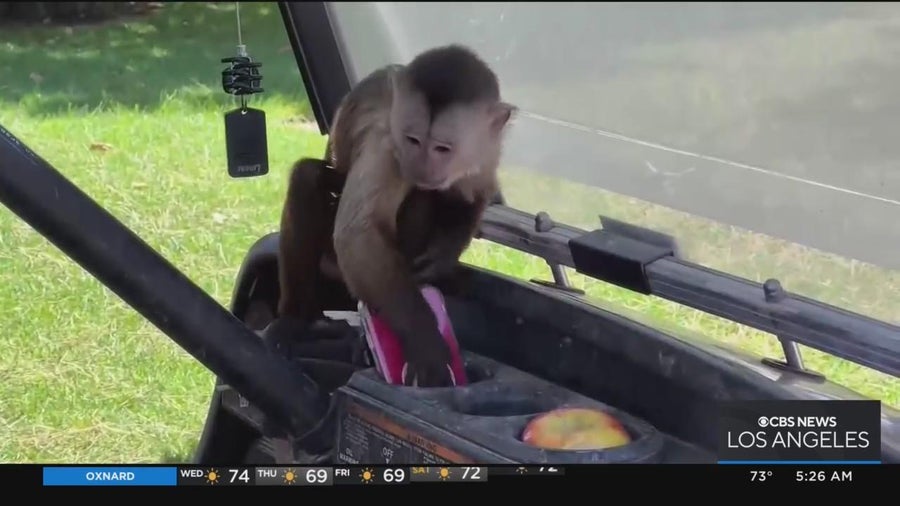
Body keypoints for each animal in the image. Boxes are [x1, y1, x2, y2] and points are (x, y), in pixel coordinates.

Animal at [276, 44, 515, 388]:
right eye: (413, 140)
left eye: (442, 148)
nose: (420, 165)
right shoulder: (388, 146)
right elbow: (359, 234)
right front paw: (426, 342)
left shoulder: (486, 151)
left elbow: (476, 195)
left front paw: (441, 257)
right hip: (331, 262)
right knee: (309, 178)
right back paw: (299, 321)